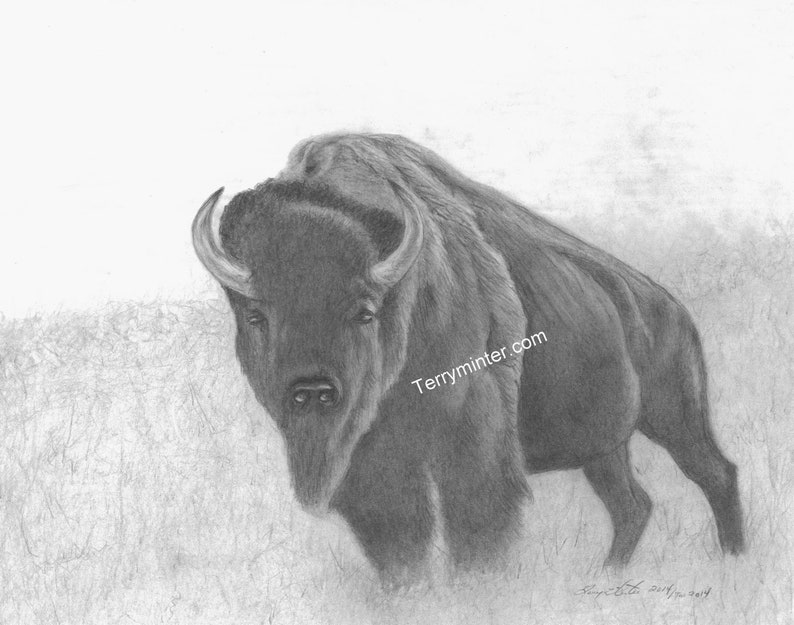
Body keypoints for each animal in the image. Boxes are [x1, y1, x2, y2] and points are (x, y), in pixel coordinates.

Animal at [191, 133, 745, 586]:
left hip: (675, 416)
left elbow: (476, 532)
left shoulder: (474, 454)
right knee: (632, 504)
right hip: (605, 448)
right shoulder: (372, 470)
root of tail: (669, 307)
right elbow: (400, 544)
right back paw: (608, 575)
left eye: (365, 312)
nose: (312, 390)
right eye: (256, 315)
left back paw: (734, 561)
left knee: (715, 473)